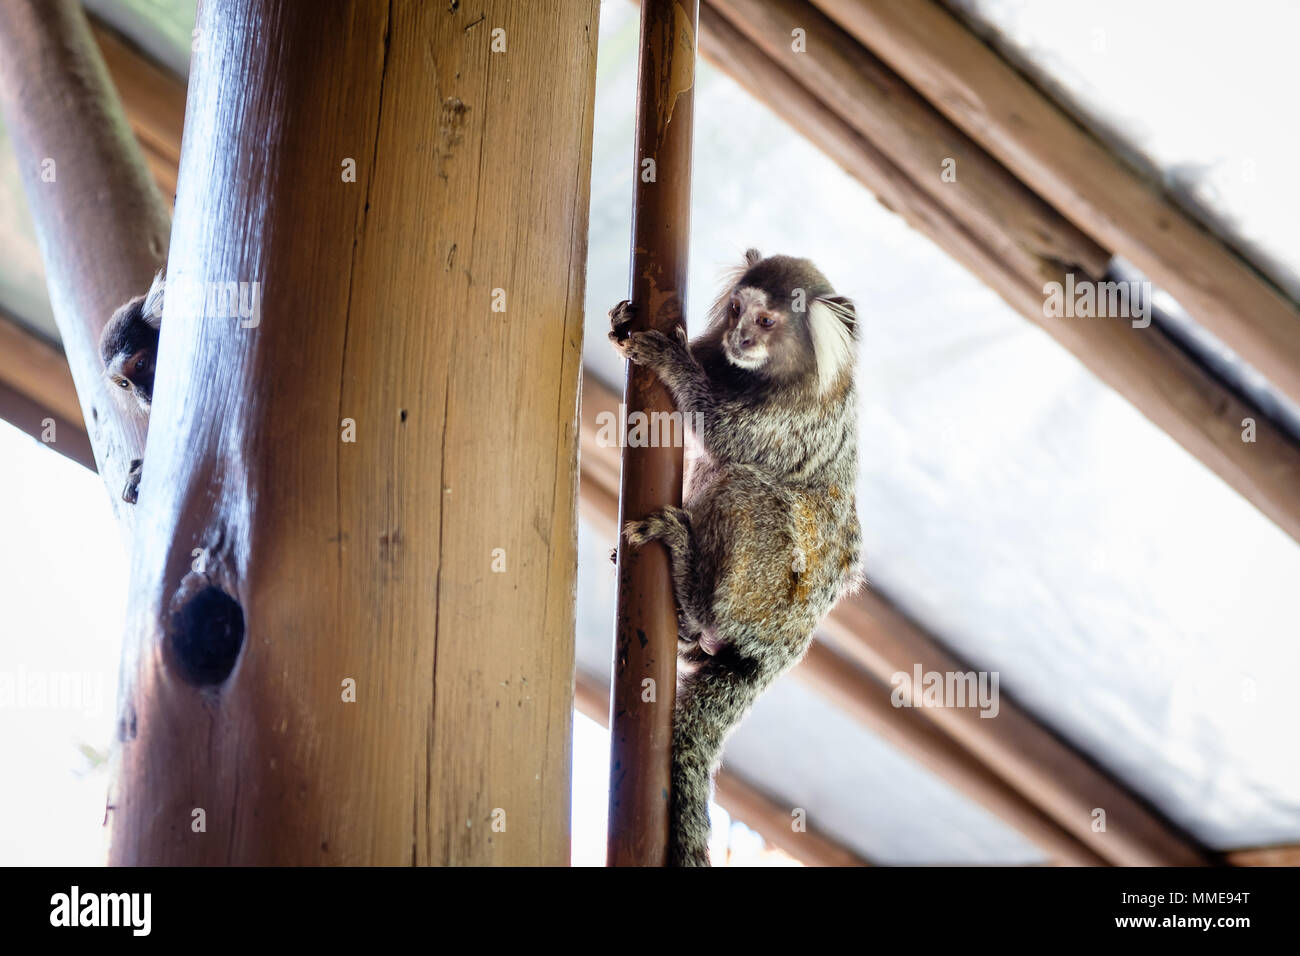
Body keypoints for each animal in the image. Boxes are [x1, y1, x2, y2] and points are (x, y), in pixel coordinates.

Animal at [609, 249, 863, 866]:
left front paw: (668, 361)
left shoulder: (798, 423)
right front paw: (621, 320)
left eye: (767, 321)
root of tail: (780, 650)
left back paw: (691, 585)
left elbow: (727, 435)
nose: (742, 336)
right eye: (735, 309)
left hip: (768, 599)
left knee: (744, 486)